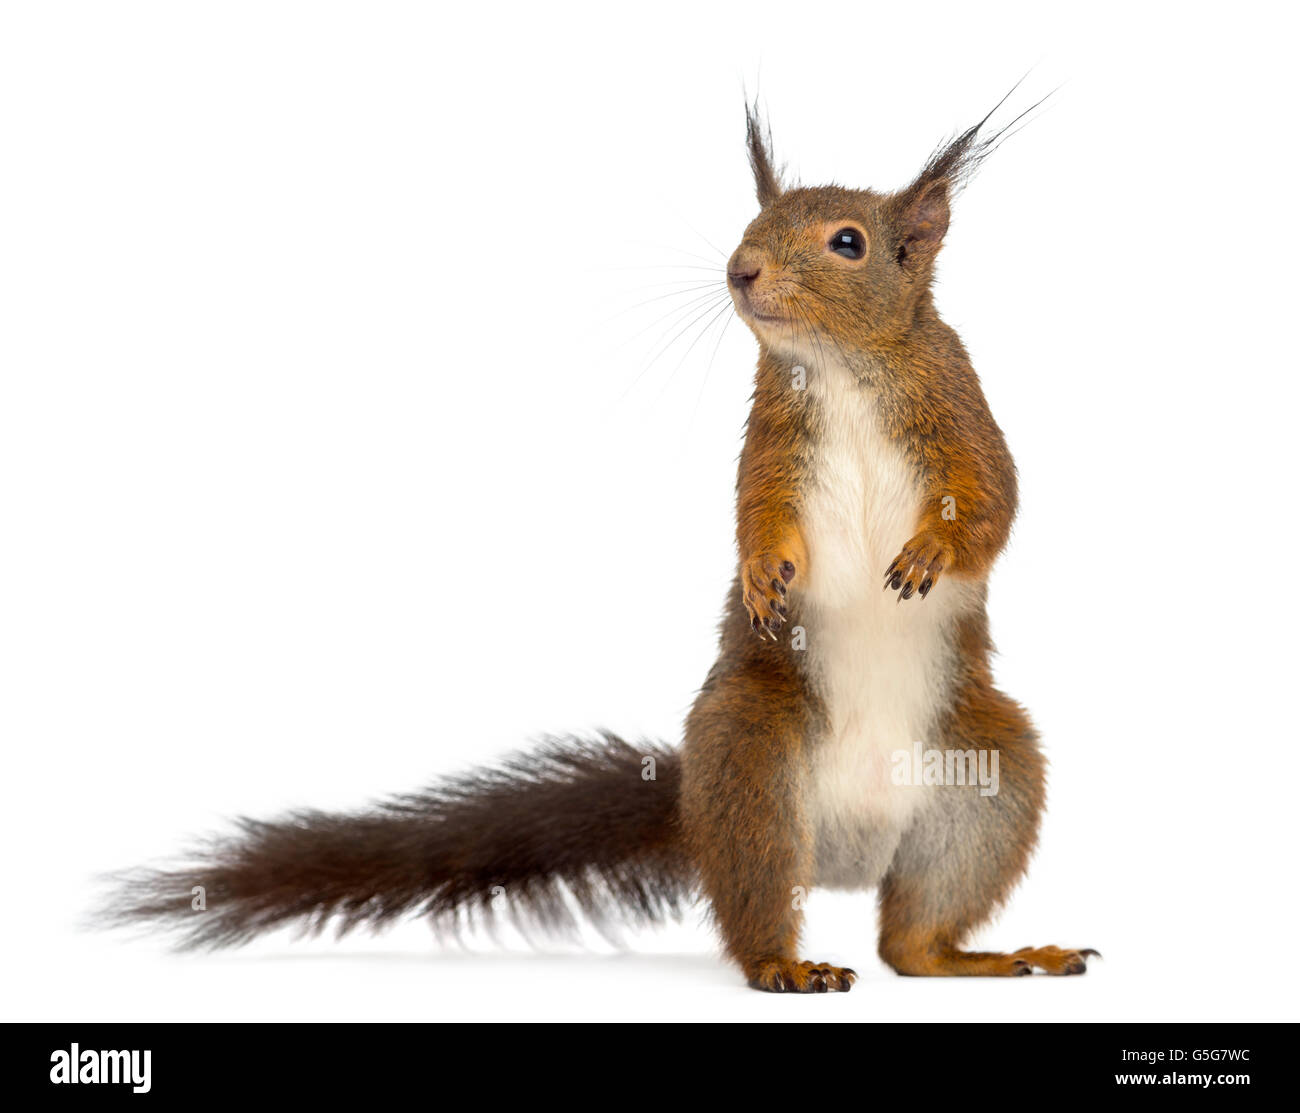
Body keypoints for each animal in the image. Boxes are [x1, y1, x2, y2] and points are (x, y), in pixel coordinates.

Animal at [106, 95, 1096, 993]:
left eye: (847, 242)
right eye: (751, 224)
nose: (741, 270)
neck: (841, 368)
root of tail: (842, 850)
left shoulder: (960, 410)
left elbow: (994, 507)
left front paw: (931, 552)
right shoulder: (771, 444)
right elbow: (755, 516)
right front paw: (760, 575)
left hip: (989, 783)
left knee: (911, 940)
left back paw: (984, 955)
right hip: (752, 762)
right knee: (767, 910)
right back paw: (790, 963)